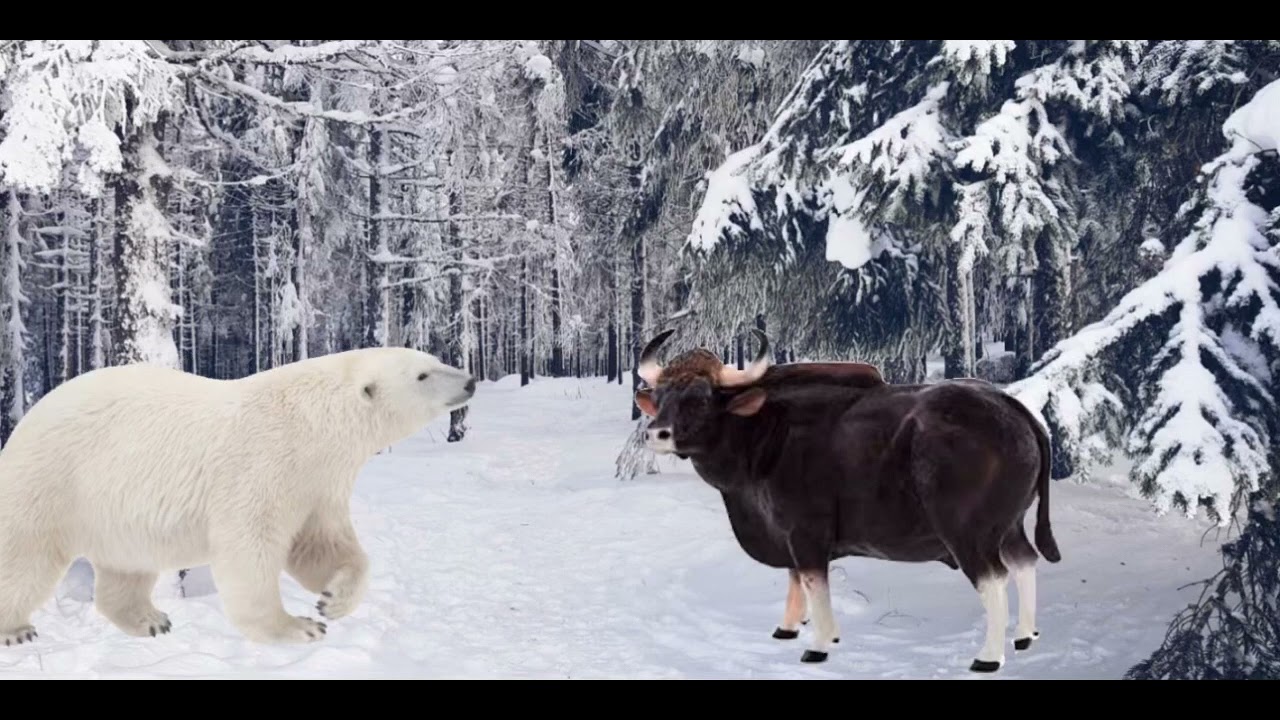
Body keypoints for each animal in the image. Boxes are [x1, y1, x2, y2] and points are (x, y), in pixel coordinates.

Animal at [0, 346, 475, 646]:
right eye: (423, 375)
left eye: (434, 358)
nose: (470, 381)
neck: (314, 422)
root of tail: (26, 422)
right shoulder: (264, 465)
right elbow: (250, 549)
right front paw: (298, 627)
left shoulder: (319, 481)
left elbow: (322, 545)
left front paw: (333, 601)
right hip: (54, 479)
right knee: (26, 557)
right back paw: (17, 629)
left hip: (116, 512)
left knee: (127, 567)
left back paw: (152, 620)